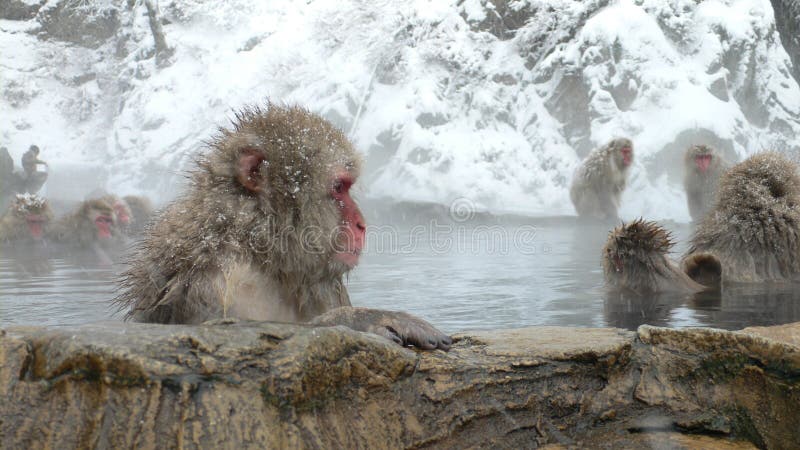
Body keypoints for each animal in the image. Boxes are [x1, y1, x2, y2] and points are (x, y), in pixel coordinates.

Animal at [114, 103, 450, 352]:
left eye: (347, 186)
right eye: (338, 188)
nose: (361, 224)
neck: (261, 249)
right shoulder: (221, 281)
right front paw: (366, 320)